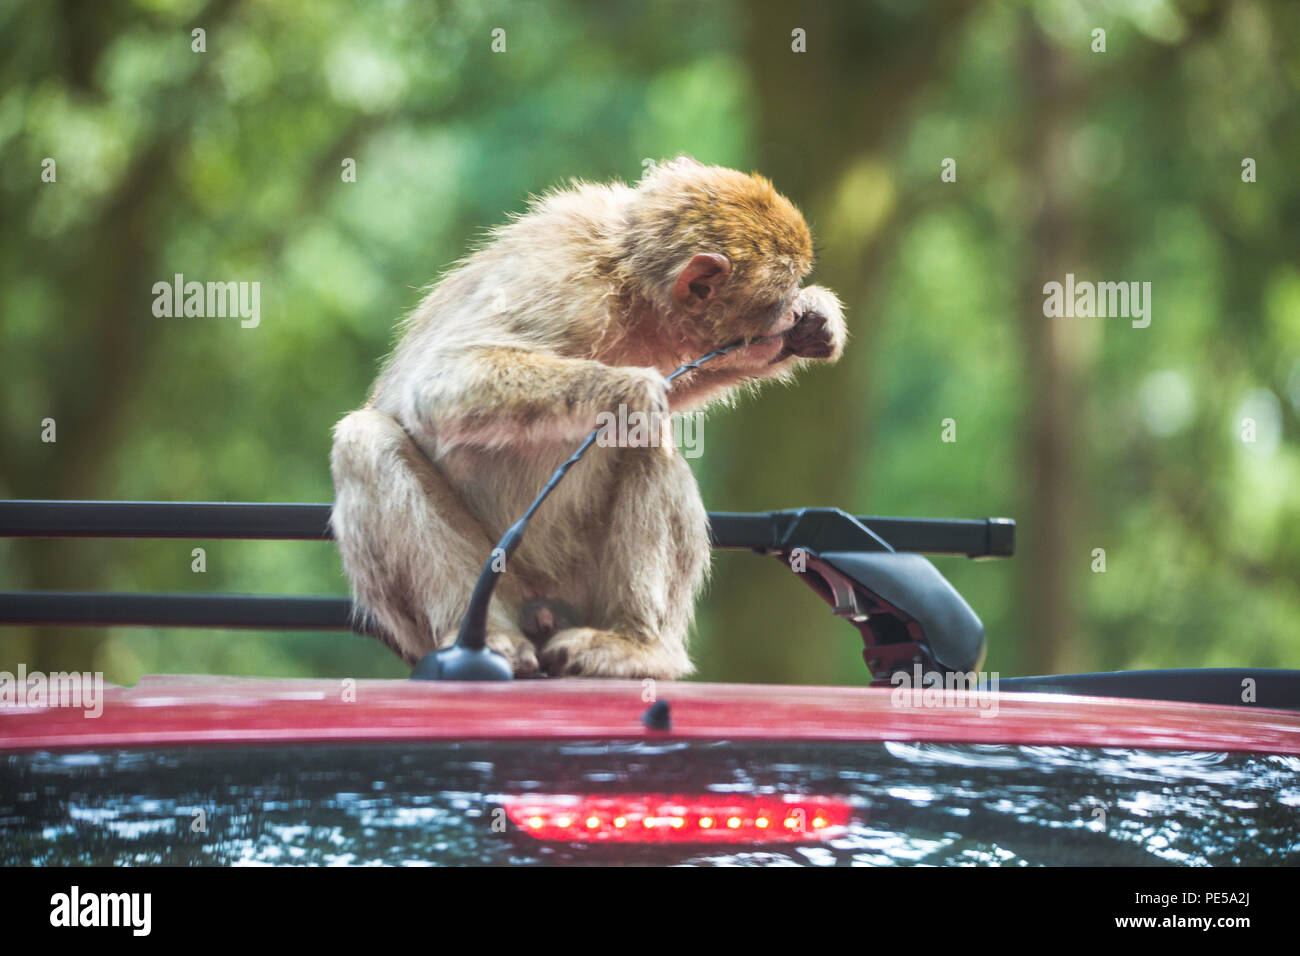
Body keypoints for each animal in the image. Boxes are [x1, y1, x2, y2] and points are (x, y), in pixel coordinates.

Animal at [330, 157, 846, 679]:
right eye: (778, 295)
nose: (792, 313)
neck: (631, 287)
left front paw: (818, 320)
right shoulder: (566, 289)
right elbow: (442, 380)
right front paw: (636, 389)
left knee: (643, 444)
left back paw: (634, 642)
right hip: (482, 590)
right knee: (365, 439)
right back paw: (489, 638)